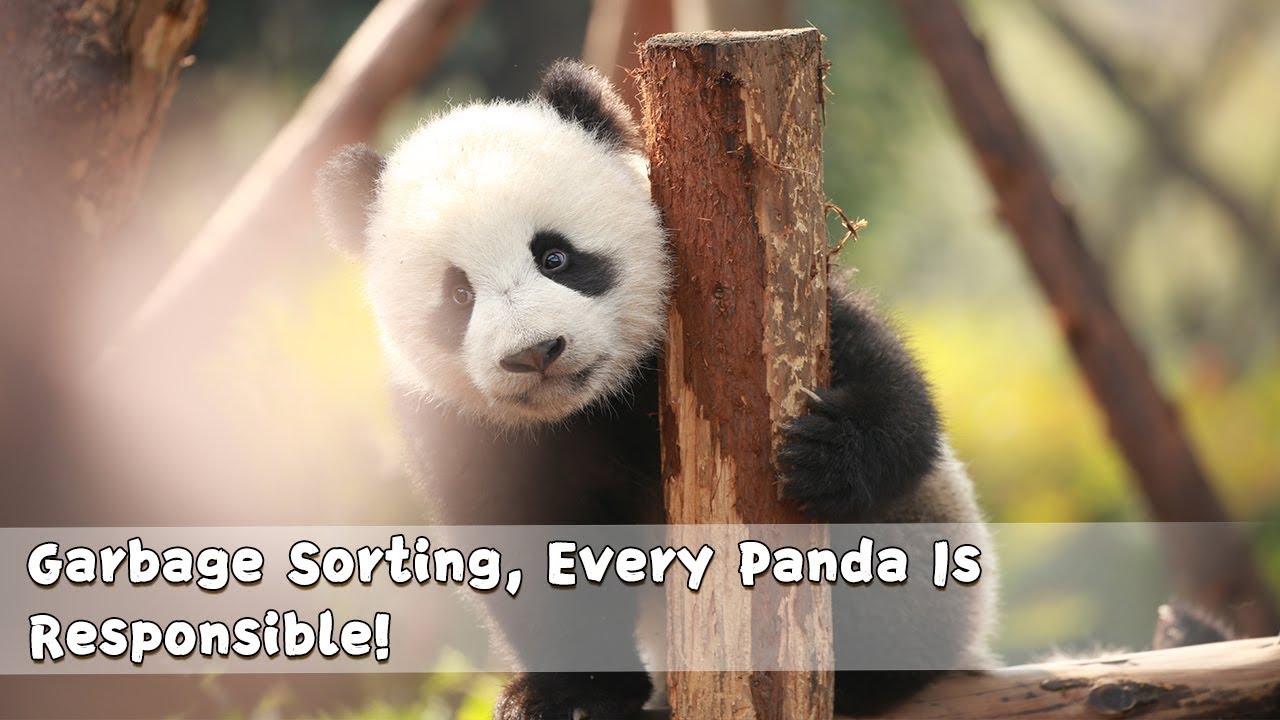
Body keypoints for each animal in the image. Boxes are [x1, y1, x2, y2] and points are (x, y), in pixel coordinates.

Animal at [315, 60, 996, 719]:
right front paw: (573, 696)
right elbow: (523, 548)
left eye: (555, 257)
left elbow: (894, 393)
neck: (590, 405)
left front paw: (826, 453)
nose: (535, 353)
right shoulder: (460, 425)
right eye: (458, 295)